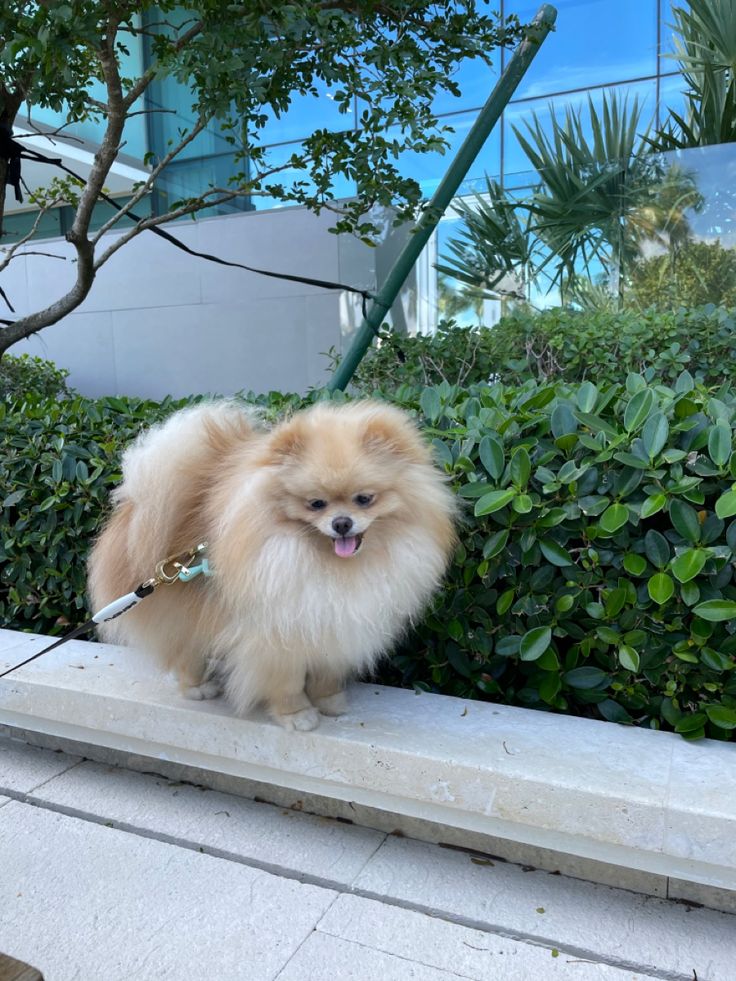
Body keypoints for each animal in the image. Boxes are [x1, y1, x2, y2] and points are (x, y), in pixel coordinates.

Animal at [86, 398, 454, 728]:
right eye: (316, 503)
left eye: (364, 498)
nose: (342, 523)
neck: (329, 564)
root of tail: (134, 505)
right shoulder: (277, 635)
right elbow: (286, 681)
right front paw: (298, 715)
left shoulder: (333, 623)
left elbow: (327, 672)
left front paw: (329, 702)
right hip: (180, 610)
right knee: (186, 650)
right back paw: (198, 687)